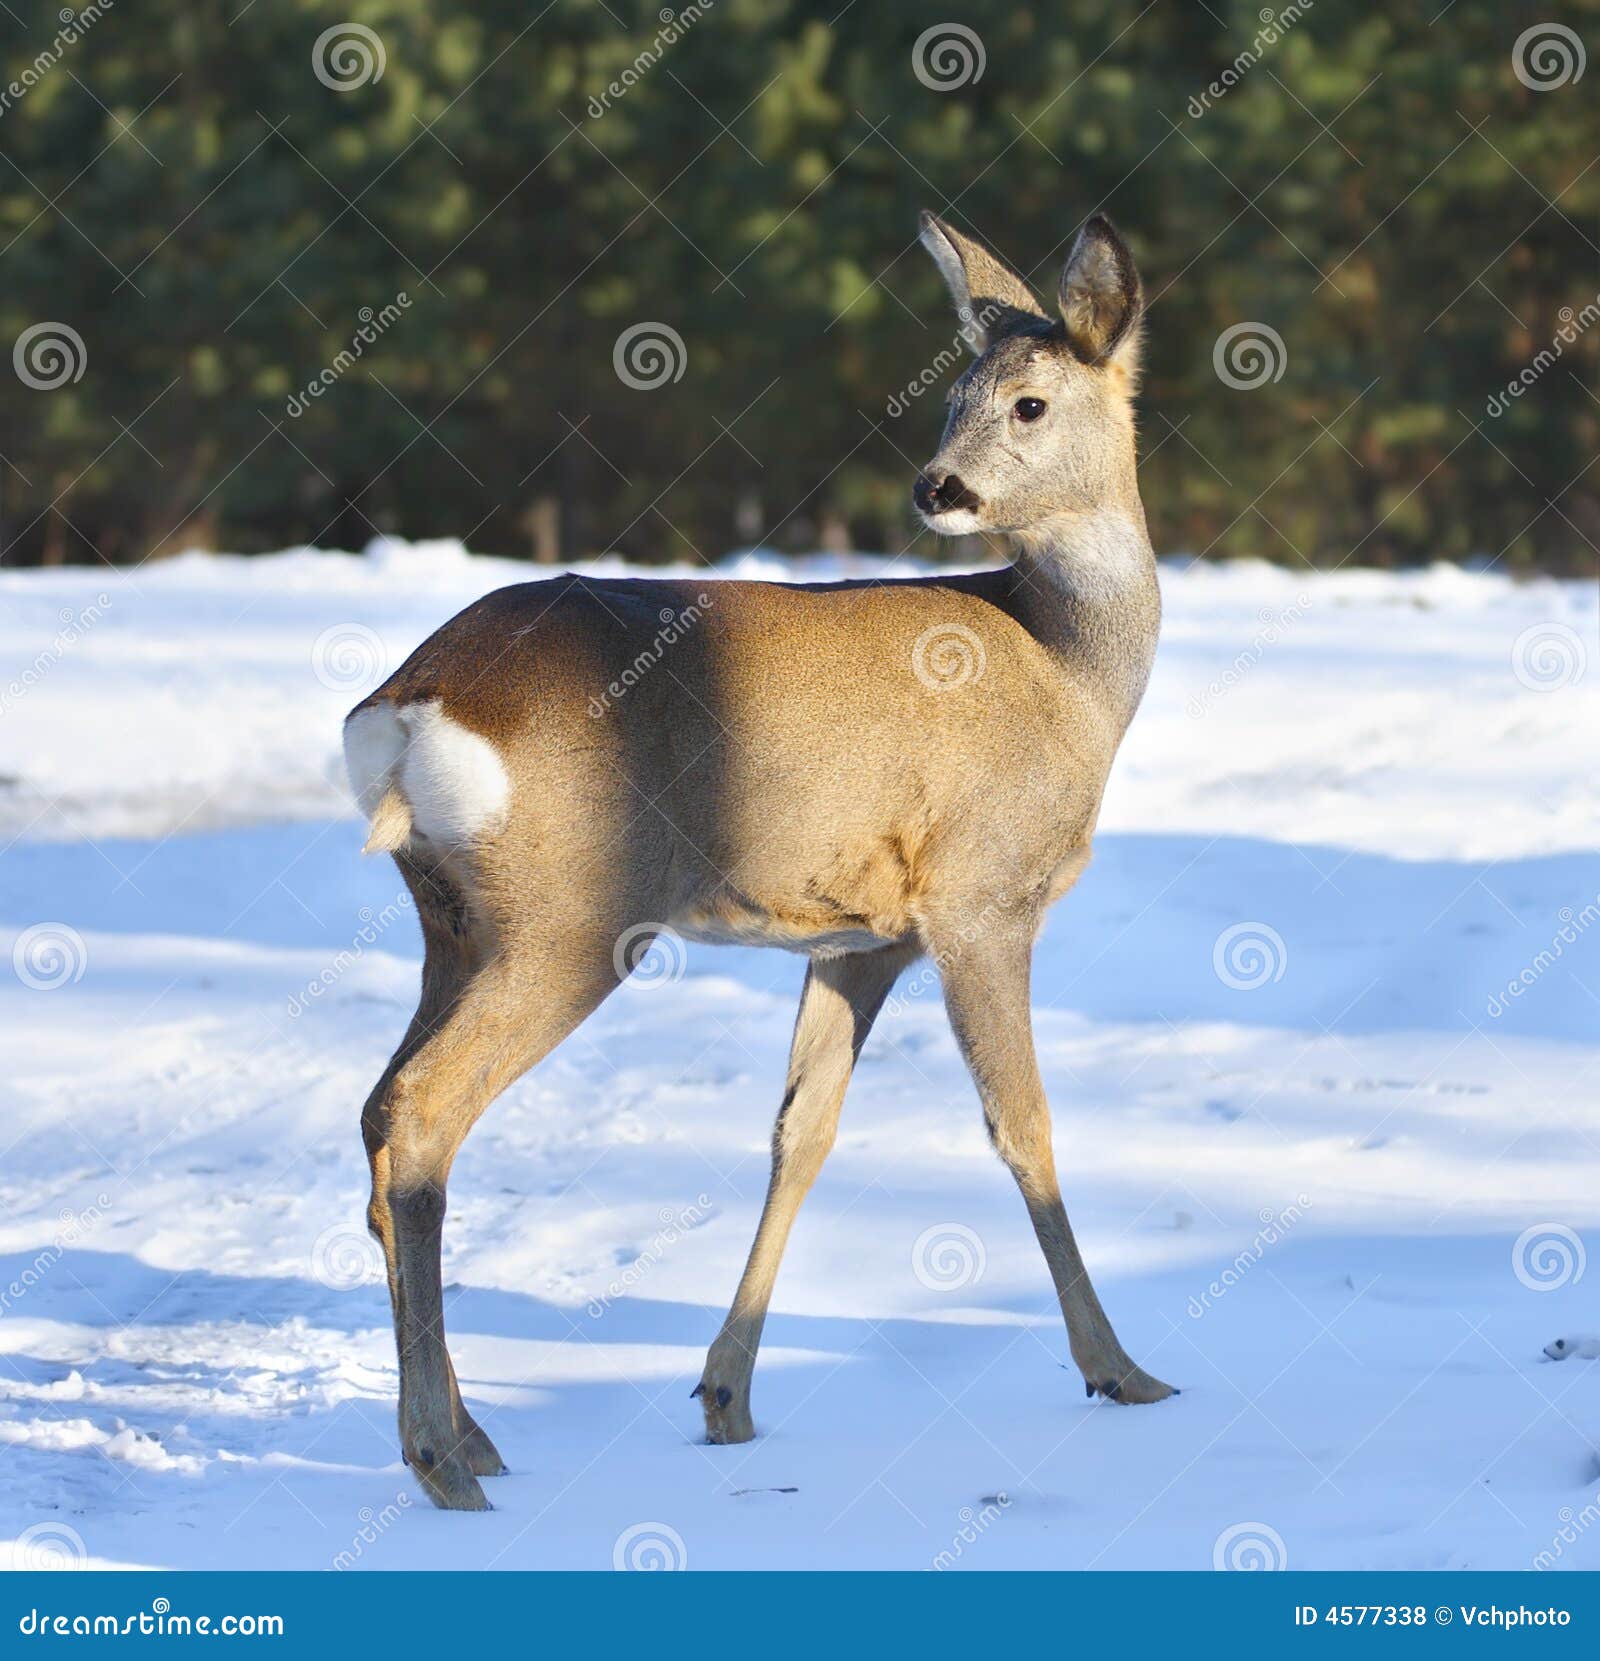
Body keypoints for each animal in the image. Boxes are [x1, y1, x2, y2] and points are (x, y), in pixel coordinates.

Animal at [343, 210, 1175, 1511]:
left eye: (1025, 400)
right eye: (955, 395)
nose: (937, 487)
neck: (1070, 670)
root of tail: (411, 698)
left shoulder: (859, 937)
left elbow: (802, 1132)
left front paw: (724, 1394)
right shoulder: (981, 896)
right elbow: (1023, 1126)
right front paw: (1120, 1369)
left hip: (452, 919)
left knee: (379, 1110)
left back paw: (468, 1435)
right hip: (573, 912)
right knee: (422, 1111)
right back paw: (442, 1459)